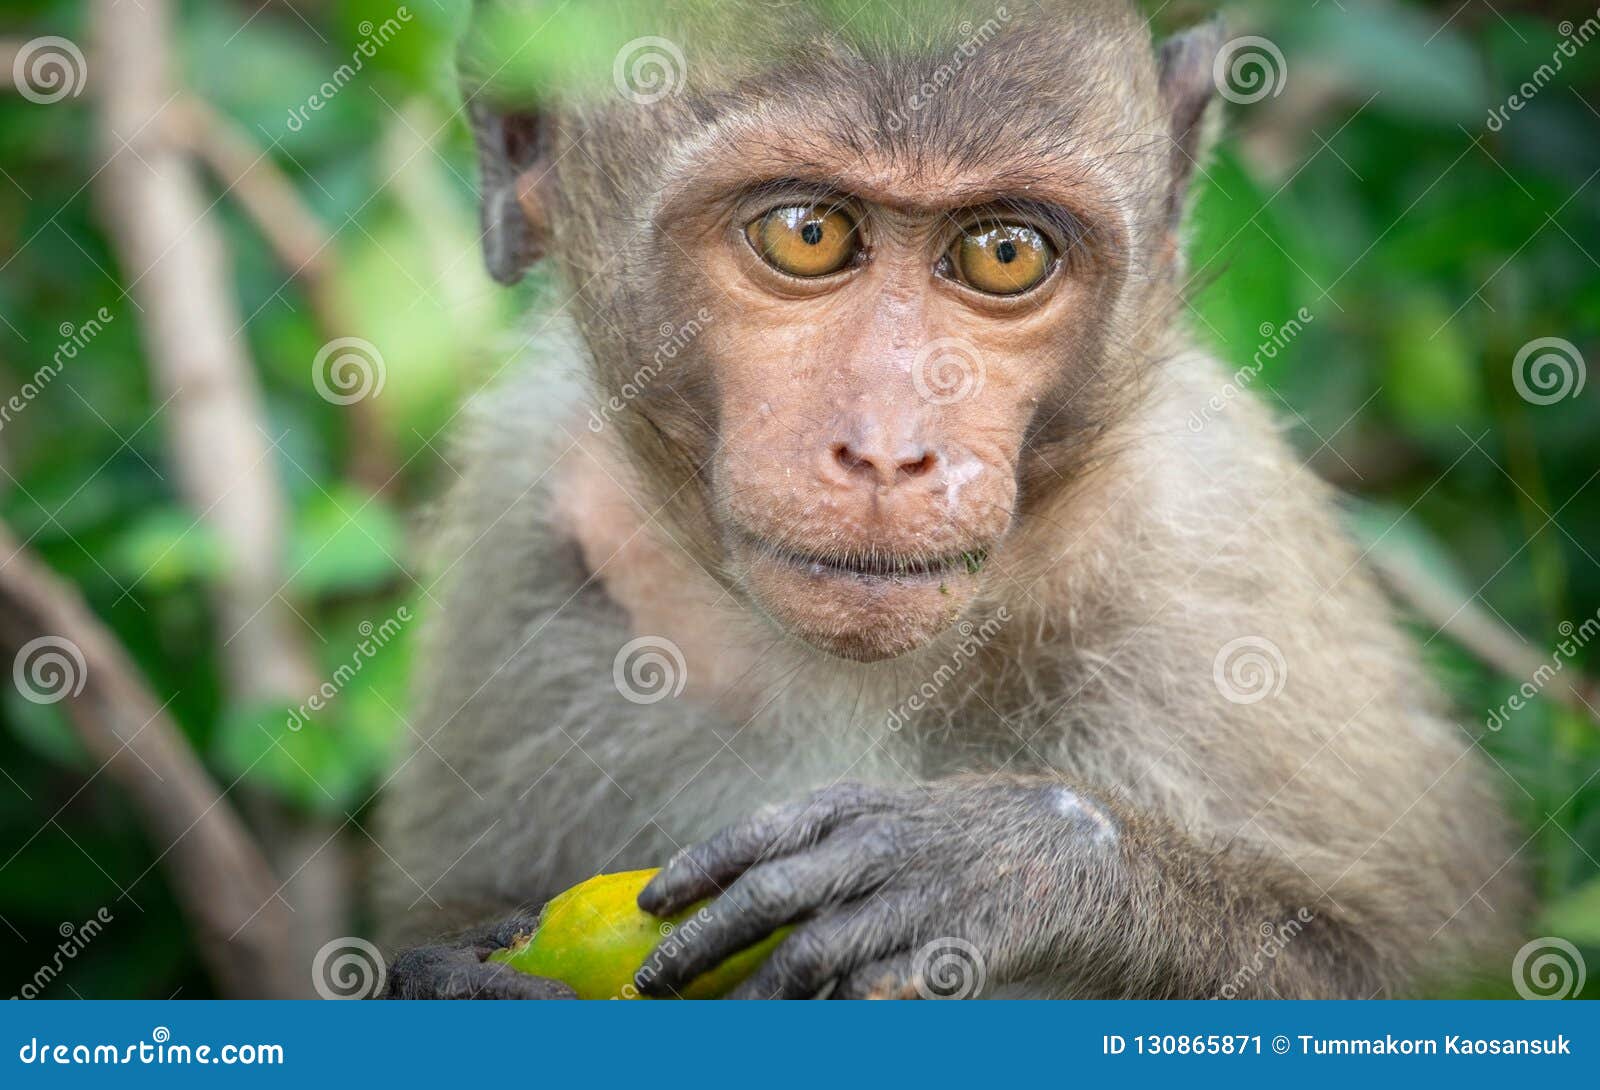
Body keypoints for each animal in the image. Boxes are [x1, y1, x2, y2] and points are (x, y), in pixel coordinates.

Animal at [374, 0, 1526, 999]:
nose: (891, 452)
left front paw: (1023, 863)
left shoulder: (1223, 541)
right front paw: (461, 977)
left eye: (1003, 253)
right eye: (805, 233)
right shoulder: (529, 497)